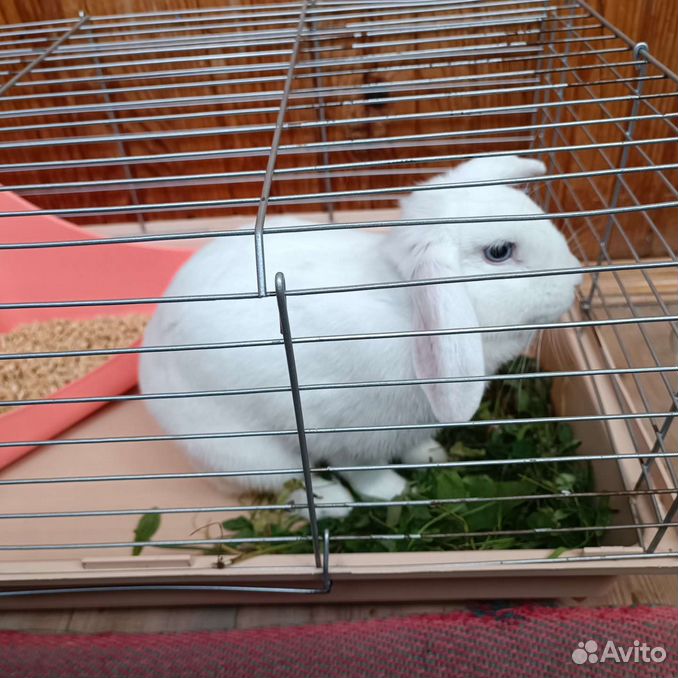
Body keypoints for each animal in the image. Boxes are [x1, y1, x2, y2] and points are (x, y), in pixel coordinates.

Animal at [139, 155, 582, 519]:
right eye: (499, 251)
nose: (576, 276)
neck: (407, 312)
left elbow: (415, 447)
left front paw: (434, 457)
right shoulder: (348, 438)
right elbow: (367, 474)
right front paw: (396, 493)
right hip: (243, 449)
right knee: (287, 482)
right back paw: (337, 505)